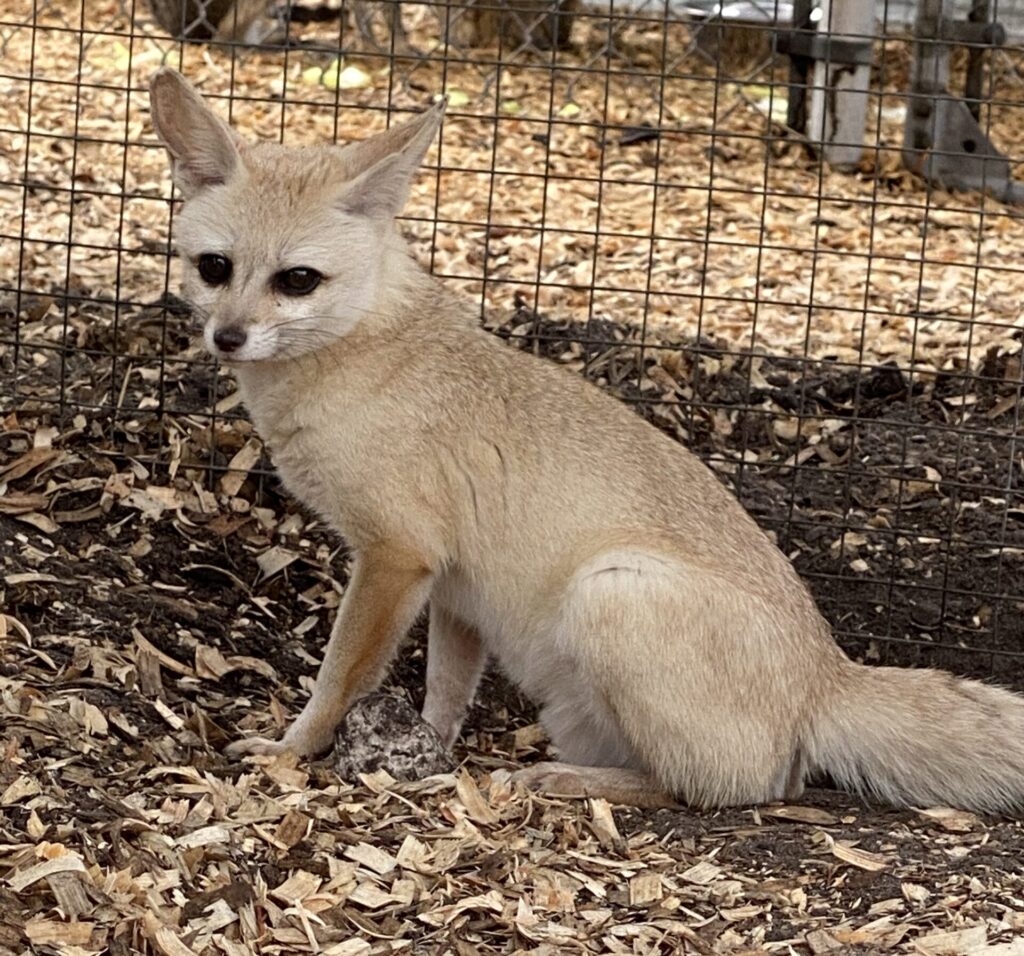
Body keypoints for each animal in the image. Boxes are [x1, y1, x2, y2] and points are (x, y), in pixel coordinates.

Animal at [149, 67, 1024, 812]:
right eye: (215, 267)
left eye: (297, 280)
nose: (227, 338)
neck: (367, 349)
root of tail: (826, 676)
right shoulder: (454, 588)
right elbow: (445, 694)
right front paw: (426, 754)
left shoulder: (396, 556)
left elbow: (338, 678)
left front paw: (293, 750)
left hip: (611, 593)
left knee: (727, 789)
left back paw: (566, 782)